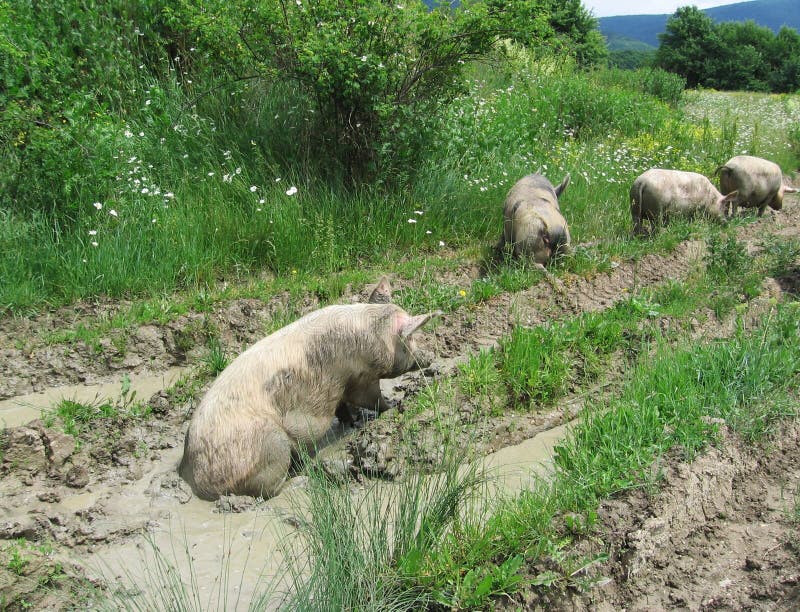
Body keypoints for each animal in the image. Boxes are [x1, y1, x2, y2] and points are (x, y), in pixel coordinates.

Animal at [179, 303, 439, 500]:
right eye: (412, 338)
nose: (431, 357)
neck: (376, 333)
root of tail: (201, 482)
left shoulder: (341, 387)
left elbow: (343, 407)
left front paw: (352, 423)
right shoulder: (360, 377)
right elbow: (371, 399)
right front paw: (394, 406)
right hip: (270, 445)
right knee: (268, 491)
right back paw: (299, 481)